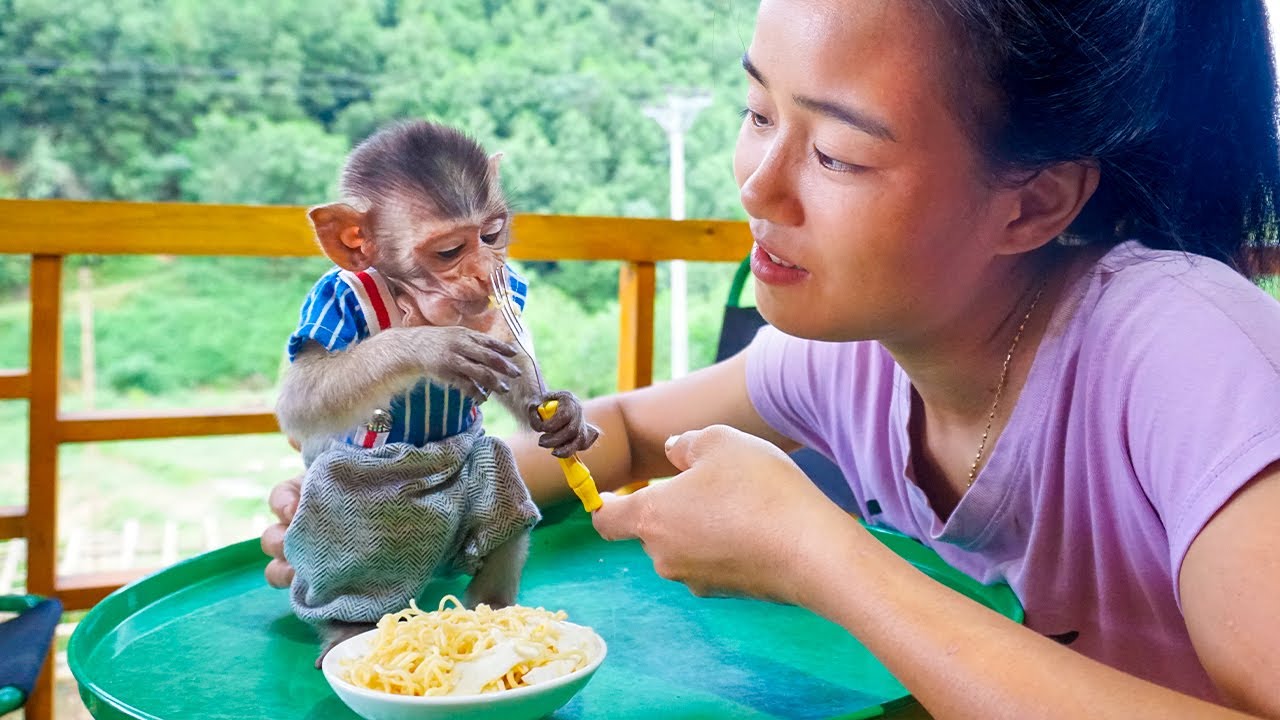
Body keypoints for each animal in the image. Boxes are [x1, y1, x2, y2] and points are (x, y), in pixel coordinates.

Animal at [273, 120, 599, 667]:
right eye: (449, 251)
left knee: (496, 472)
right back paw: (345, 627)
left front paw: (563, 414)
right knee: (341, 495)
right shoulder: (332, 297)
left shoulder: (503, 291)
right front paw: (430, 346)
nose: (484, 269)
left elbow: (513, 354)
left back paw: (493, 607)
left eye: (491, 234)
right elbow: (300, 398)